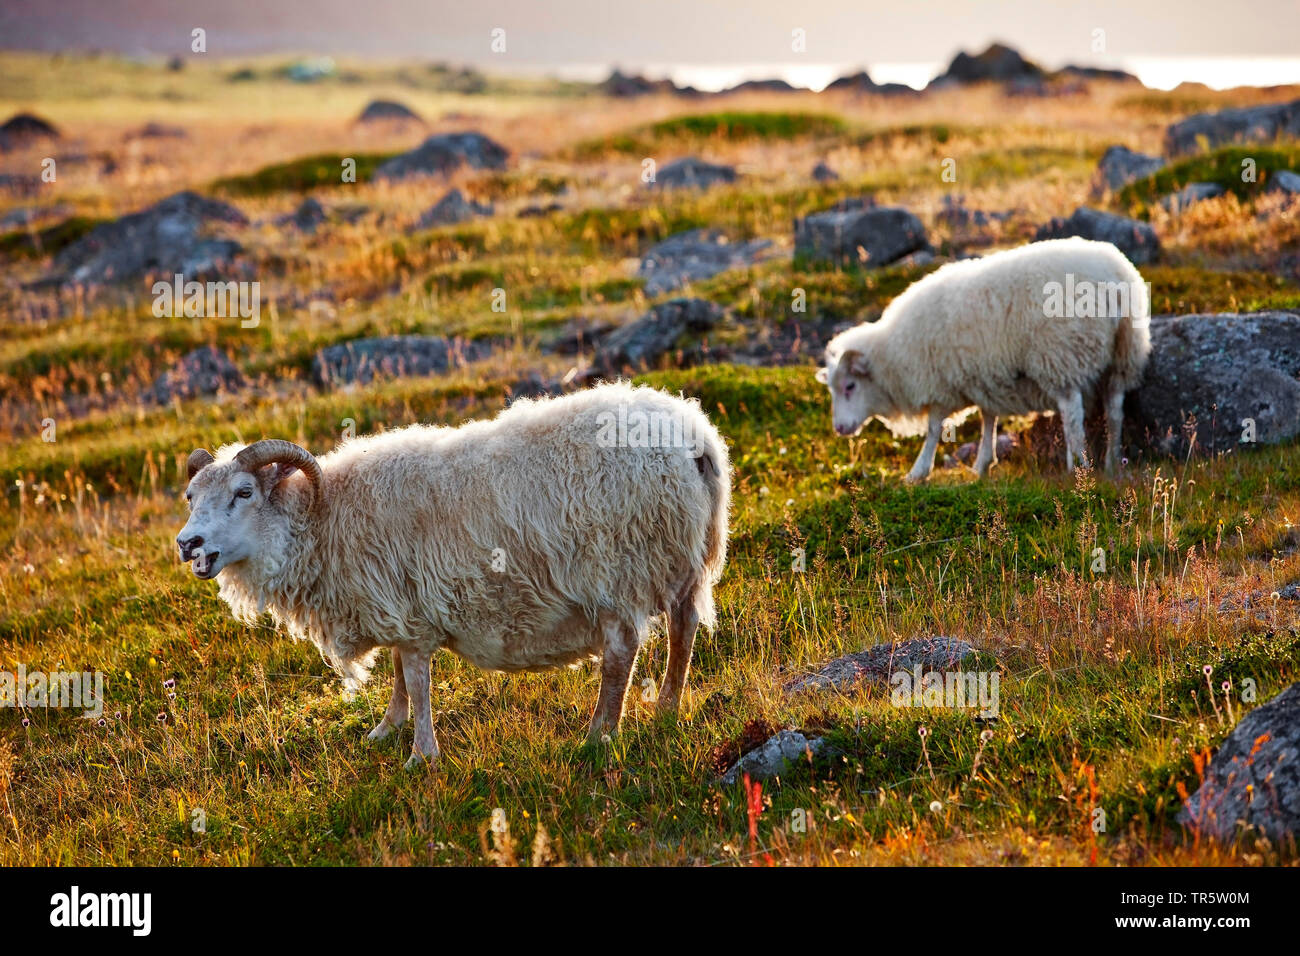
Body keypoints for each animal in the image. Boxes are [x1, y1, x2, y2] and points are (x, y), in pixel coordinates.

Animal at [175, 382, 730, 768]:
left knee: (620, 654)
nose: (188, 544)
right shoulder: (398, 609)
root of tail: (696, 438)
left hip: (616, 569)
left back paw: (599, 735)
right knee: (683, 630)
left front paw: (420, 755)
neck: (324, 518)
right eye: (190, 496)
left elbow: (417, 680)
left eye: (244, 492)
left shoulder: (411, 613)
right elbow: (400, 675)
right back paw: (667, 709)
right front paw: (385, 730)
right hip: (682, 559)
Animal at [816, 237, 1151, 482]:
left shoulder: (940, 385)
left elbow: (934, 429)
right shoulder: (983, 378)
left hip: (1061, 355)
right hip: (1123, 352)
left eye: (849, 386)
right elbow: (987, 419)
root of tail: (1115, 280)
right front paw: (981, 465)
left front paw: (918, 472)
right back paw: (1111, 462)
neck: (892, 356)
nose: (839, 429)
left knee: (1072, 415)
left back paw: (1077, 467)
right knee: (1114, 410)